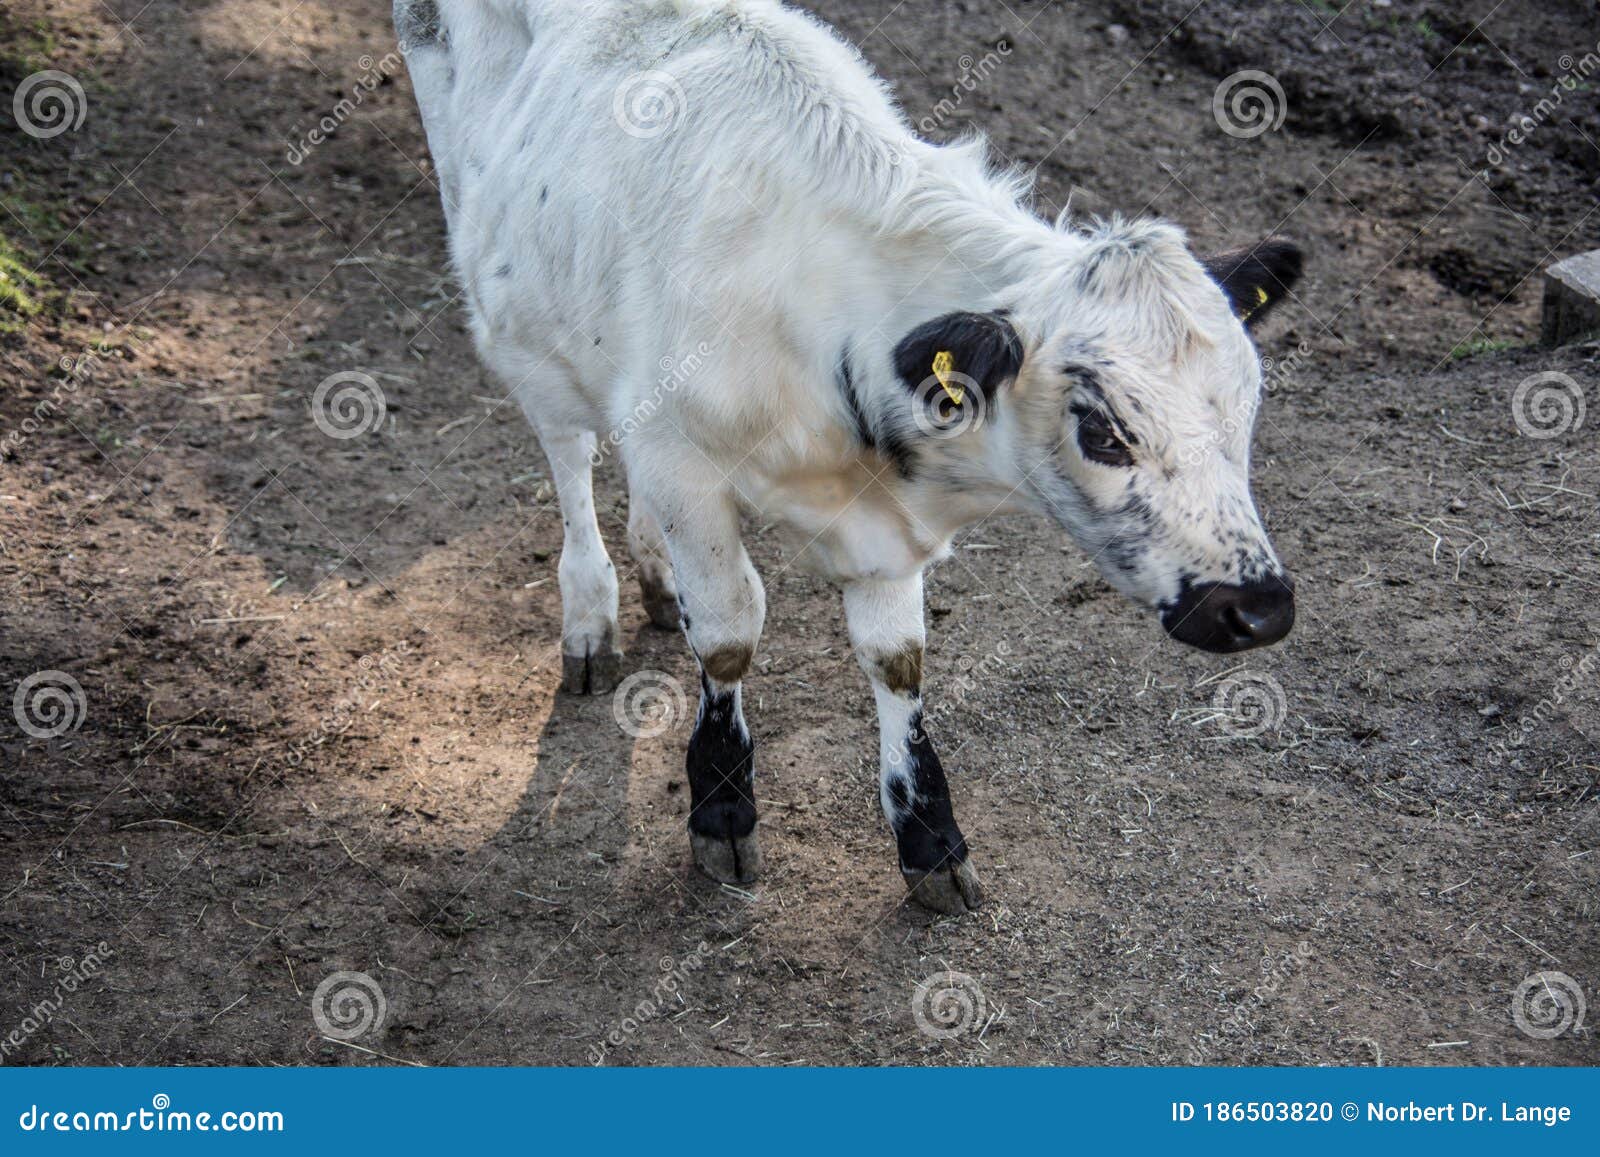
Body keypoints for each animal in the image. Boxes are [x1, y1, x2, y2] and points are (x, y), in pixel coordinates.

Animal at [393, 0, 1303, 914]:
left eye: (1249, 407)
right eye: (1104, 432)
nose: (1260, 608)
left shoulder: (874, 521)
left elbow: (896, 658)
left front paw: (929, 836)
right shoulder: (688, 465)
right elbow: (727, 634)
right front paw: (721, 810)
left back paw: (655, 575)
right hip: (512, 304)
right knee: (569, 453)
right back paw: (591, 612)